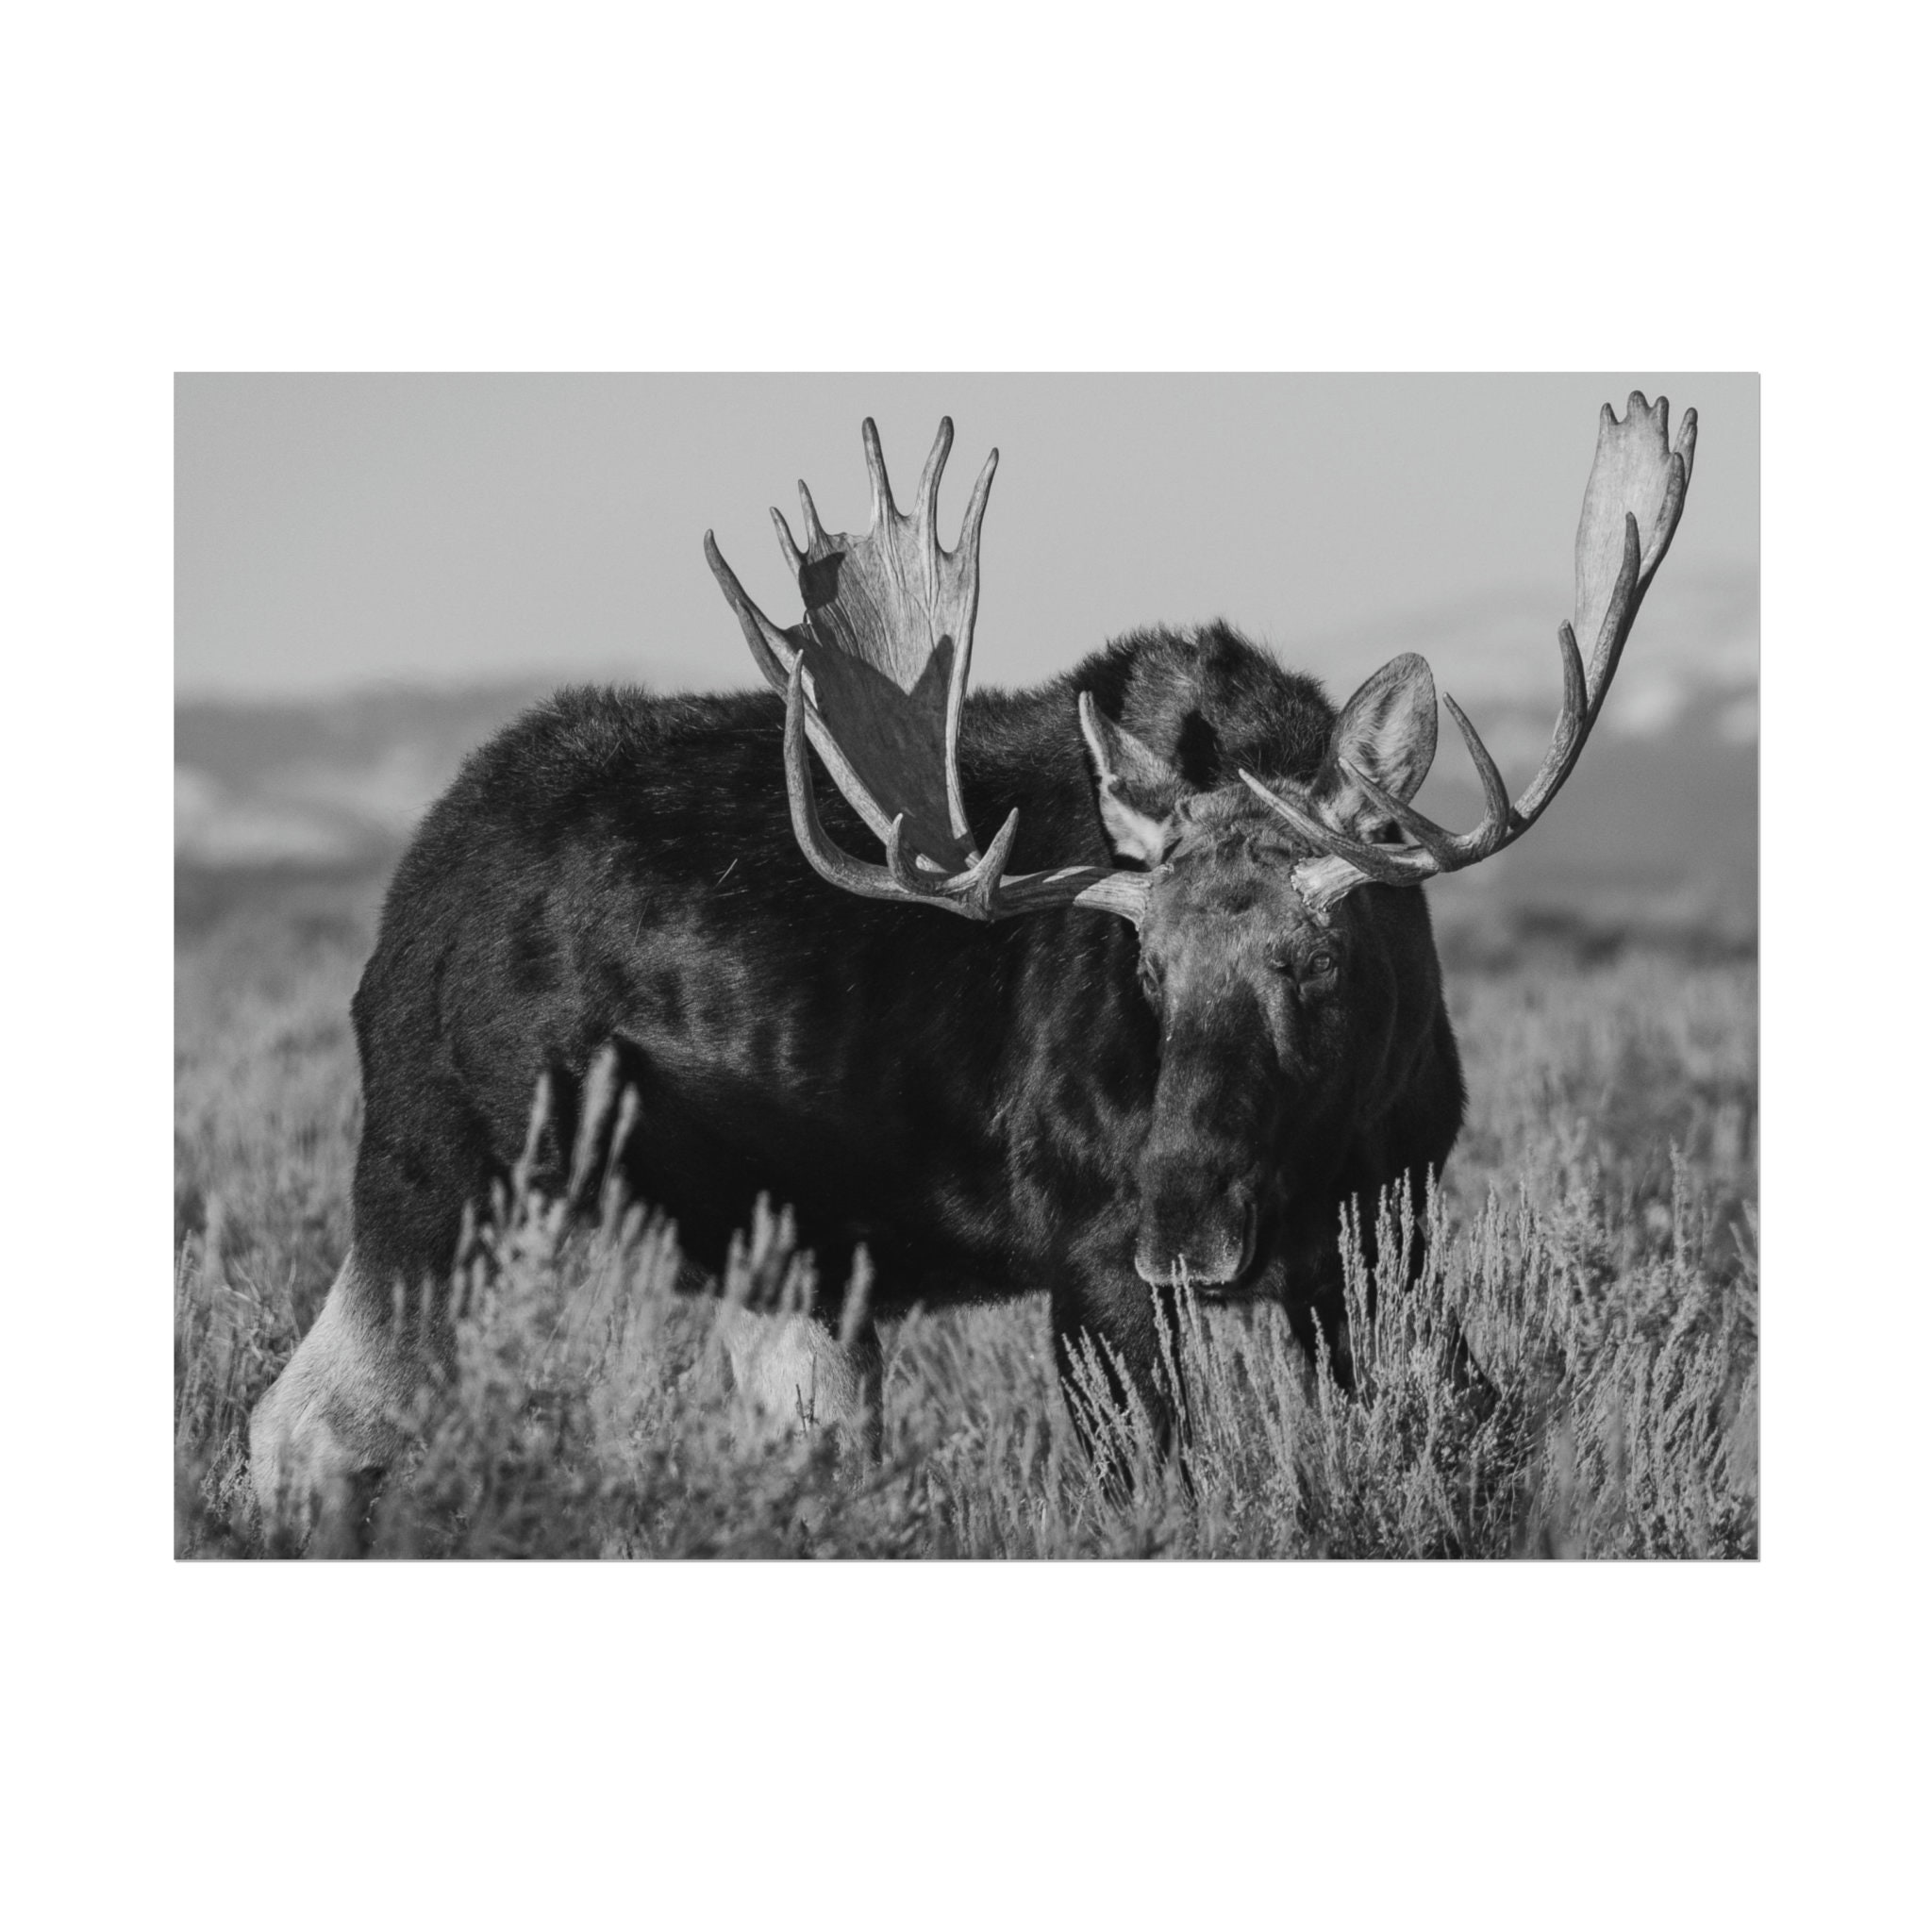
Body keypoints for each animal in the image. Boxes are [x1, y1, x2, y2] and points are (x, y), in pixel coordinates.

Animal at [249, 393, 1697, 1548]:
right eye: (1146, 967)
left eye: (1315, 954)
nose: (1192, 1232)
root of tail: (410, 888)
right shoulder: (1093, 1263)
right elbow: (1153, 1492)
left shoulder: (1384, 1230)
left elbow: (1468, 1423)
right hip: (448, 1172)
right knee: (311, 1420)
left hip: (777, 1263)